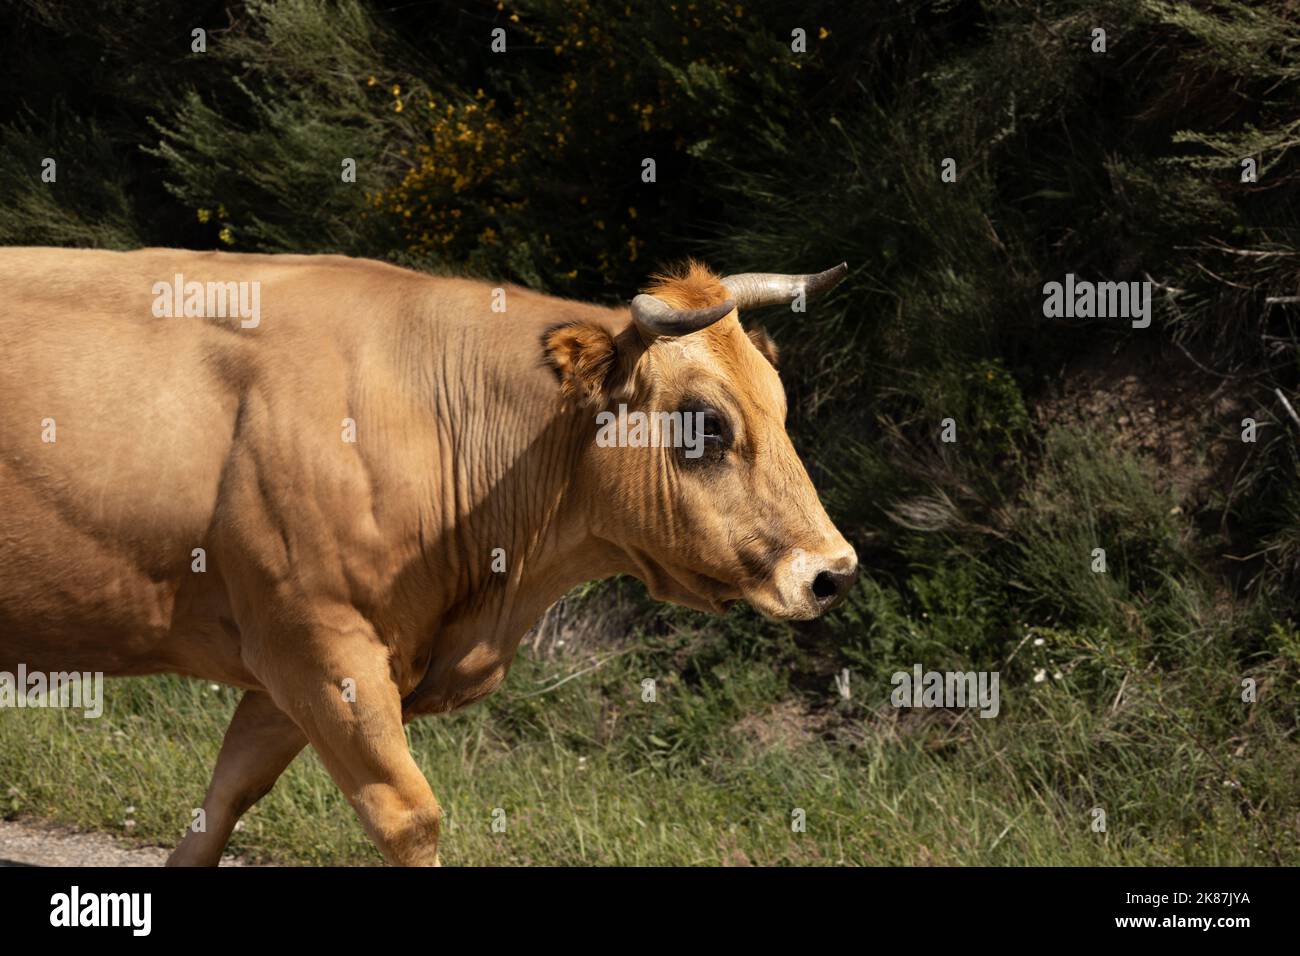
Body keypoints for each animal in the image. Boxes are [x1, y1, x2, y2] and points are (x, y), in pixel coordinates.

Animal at [0, 247, 858, 865]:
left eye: (780, 405)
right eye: (706, 423)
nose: (833, 572)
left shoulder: (289, 668)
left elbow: (223, 803)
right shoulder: (320, 645)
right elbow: (408, 817)